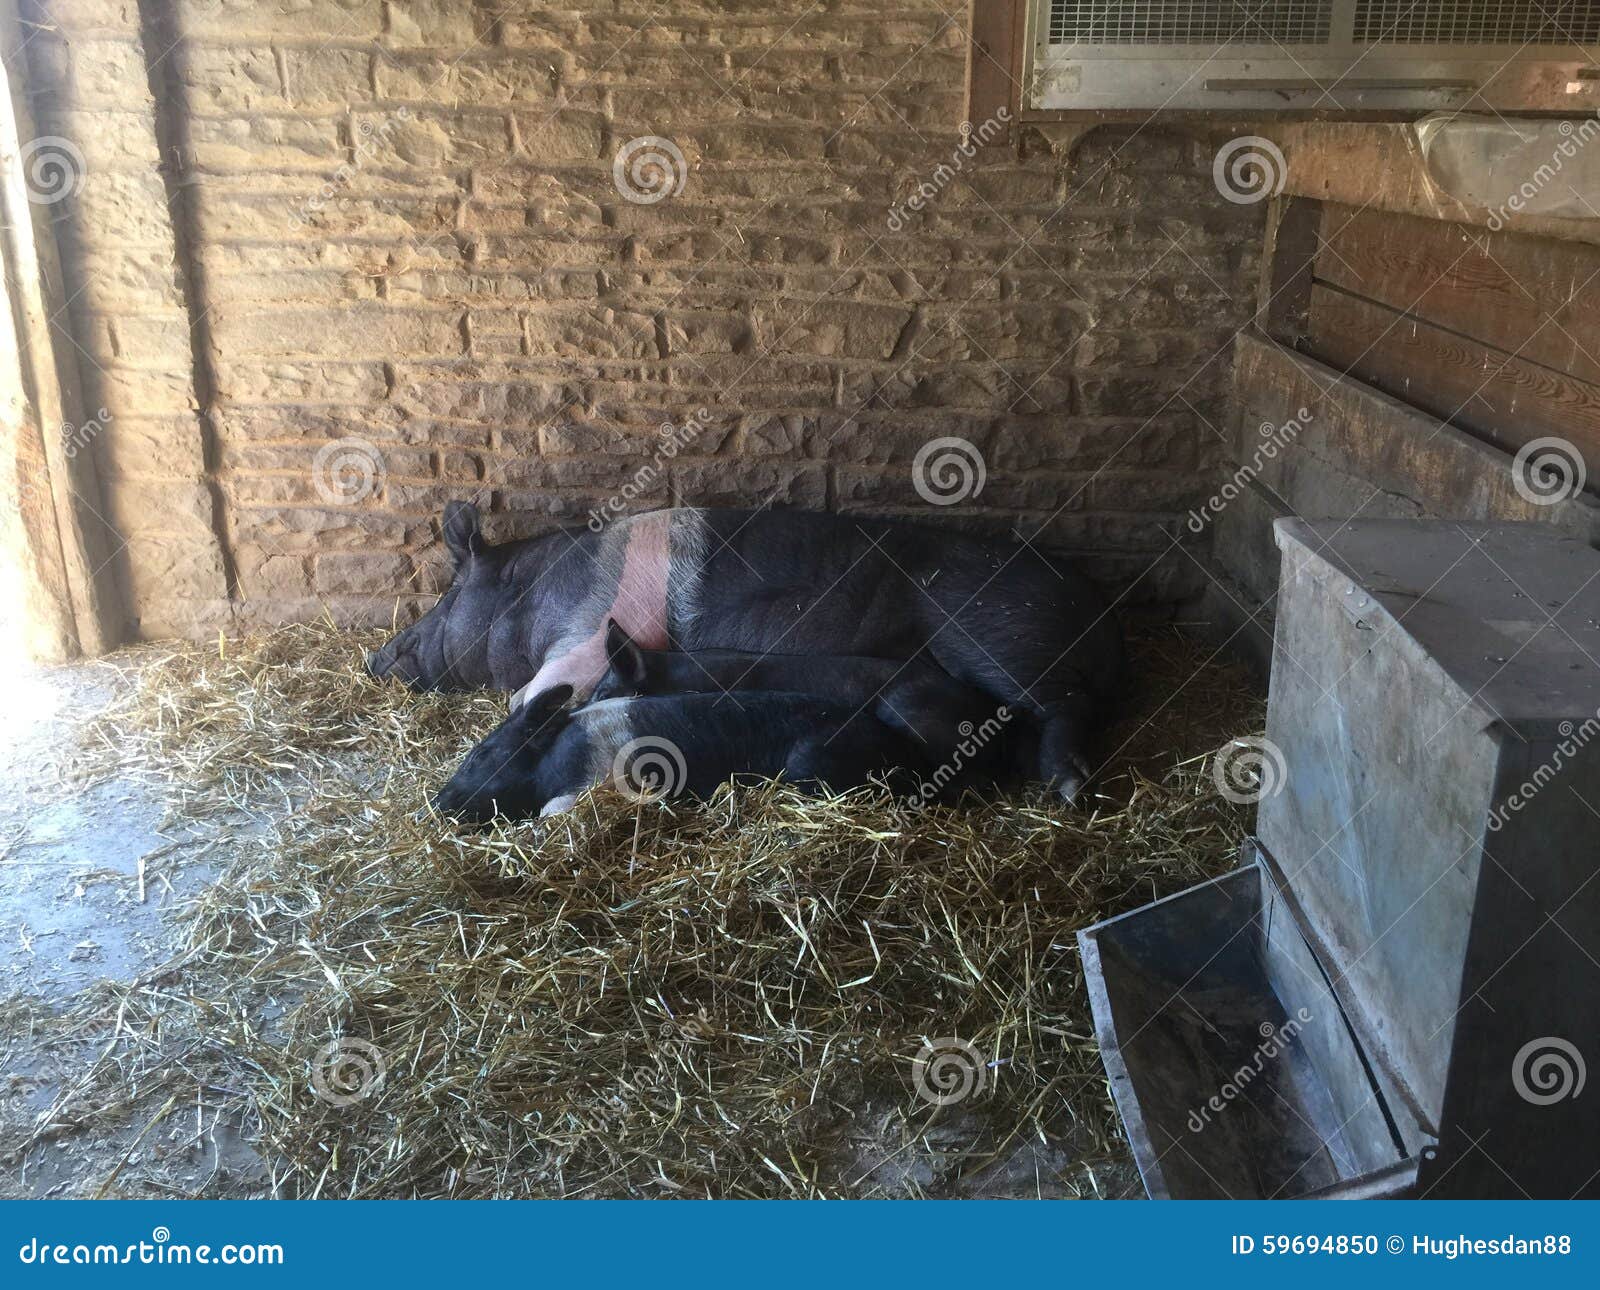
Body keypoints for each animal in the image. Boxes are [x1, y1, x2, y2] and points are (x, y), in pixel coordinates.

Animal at [370, 502, 1122, 800]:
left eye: (445, 595)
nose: (378, 658)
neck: (529, 604)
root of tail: (1099, 603)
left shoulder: (584, 638)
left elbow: (535, 696)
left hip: (1002, 633)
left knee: (1067, 705)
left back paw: (1067, 784)